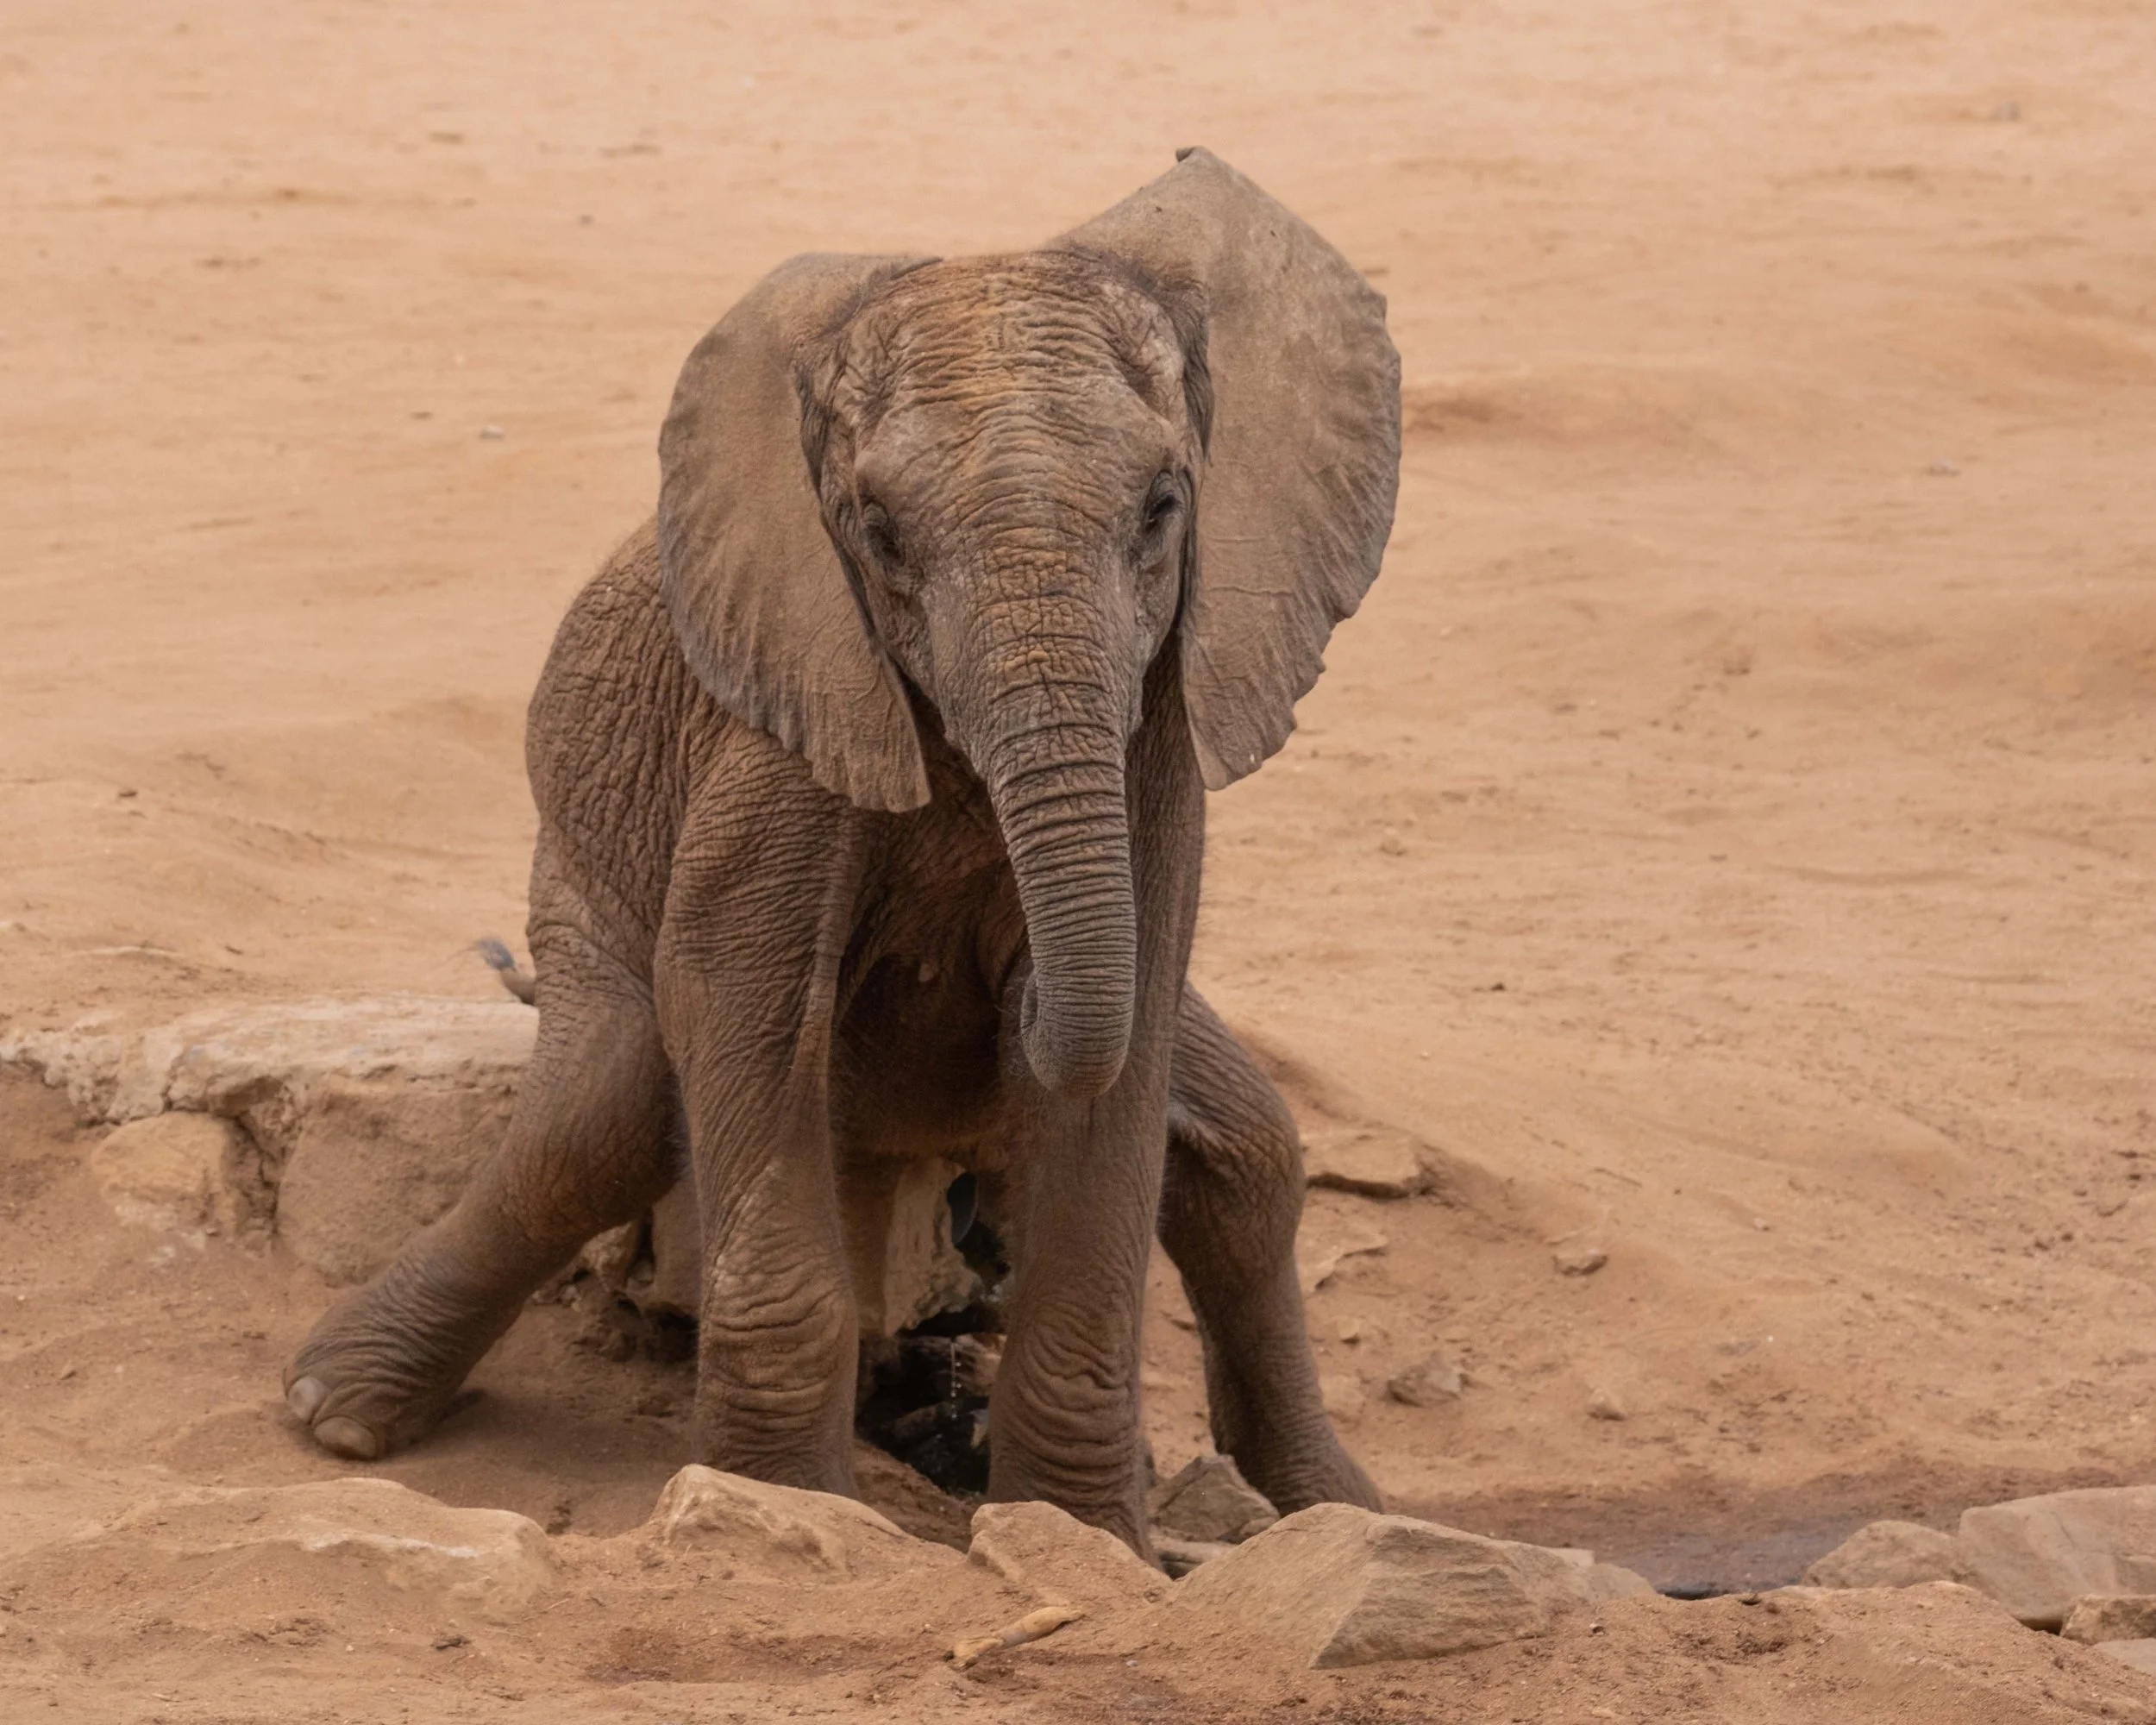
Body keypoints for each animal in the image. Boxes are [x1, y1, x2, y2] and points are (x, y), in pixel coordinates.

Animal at [284, 147, 1401, 1557]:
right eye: (876, 533)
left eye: (1162, 508)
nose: (997, 993)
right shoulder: (785, 712)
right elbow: (744, 1001)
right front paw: (782, 1512)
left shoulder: (1159, 737)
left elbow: (1131, 1047)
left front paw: (1083, 1538)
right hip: (573, 896)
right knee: (604, 1112)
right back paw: (334, 1414)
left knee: (1249, 1157)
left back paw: (1343, 1507)